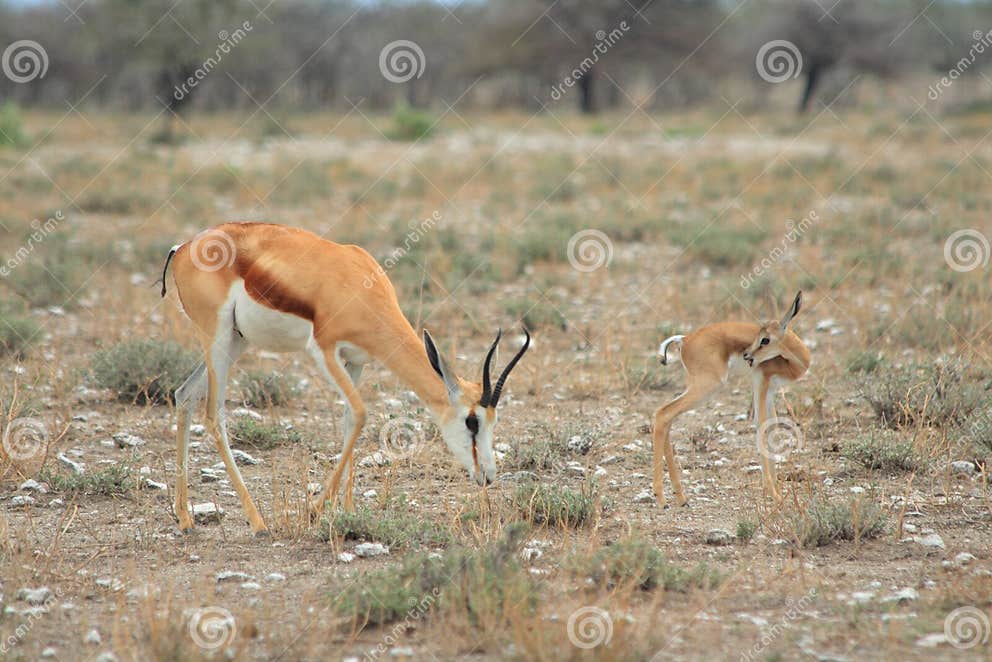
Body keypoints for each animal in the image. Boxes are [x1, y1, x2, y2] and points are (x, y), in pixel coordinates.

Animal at [161, 222, 530, 536]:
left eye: (493, 422)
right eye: (472, 421)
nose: (488, 476)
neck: (360, 285)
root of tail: (184, 247)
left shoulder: (357, 361)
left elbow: (350, 418)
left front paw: (349, 511)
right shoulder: (323, 350)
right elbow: (362, 413)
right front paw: (314, 511)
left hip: (237, 340)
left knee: (184, 394)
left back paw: (185, 518)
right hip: (218, 337)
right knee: (214, 414)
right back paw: (258, 522)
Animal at [652, 292, 810, 508]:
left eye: (765, 339)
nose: (747, 355)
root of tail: (685, 339)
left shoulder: (770, 391)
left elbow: (771, 428)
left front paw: (777, 491)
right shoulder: (760, 383)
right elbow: (761, 426)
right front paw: (774, 494)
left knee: (668, 417)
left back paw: (681, 498)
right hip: (707, 387)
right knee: (663, 413)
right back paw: (661, 499)